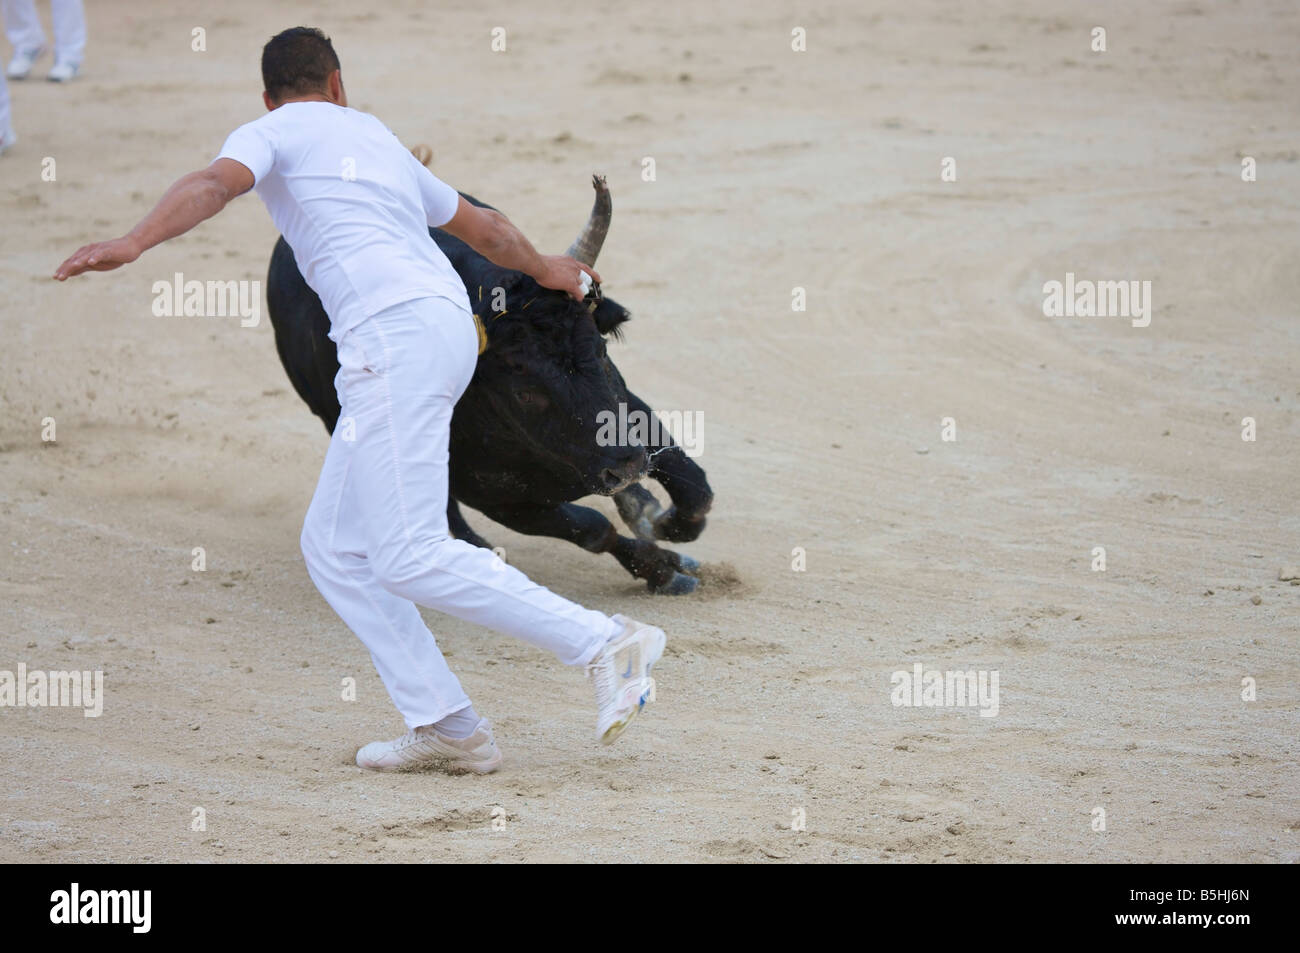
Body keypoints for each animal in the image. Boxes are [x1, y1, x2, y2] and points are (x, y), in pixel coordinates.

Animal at [266, 175, 714, 594]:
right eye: (525, 393)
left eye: (601, 352)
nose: (626, 468)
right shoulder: (499, 501)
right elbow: (592, 529)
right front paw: (661, 569)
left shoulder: (626, 410)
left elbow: (694, 489)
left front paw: (660, 521)